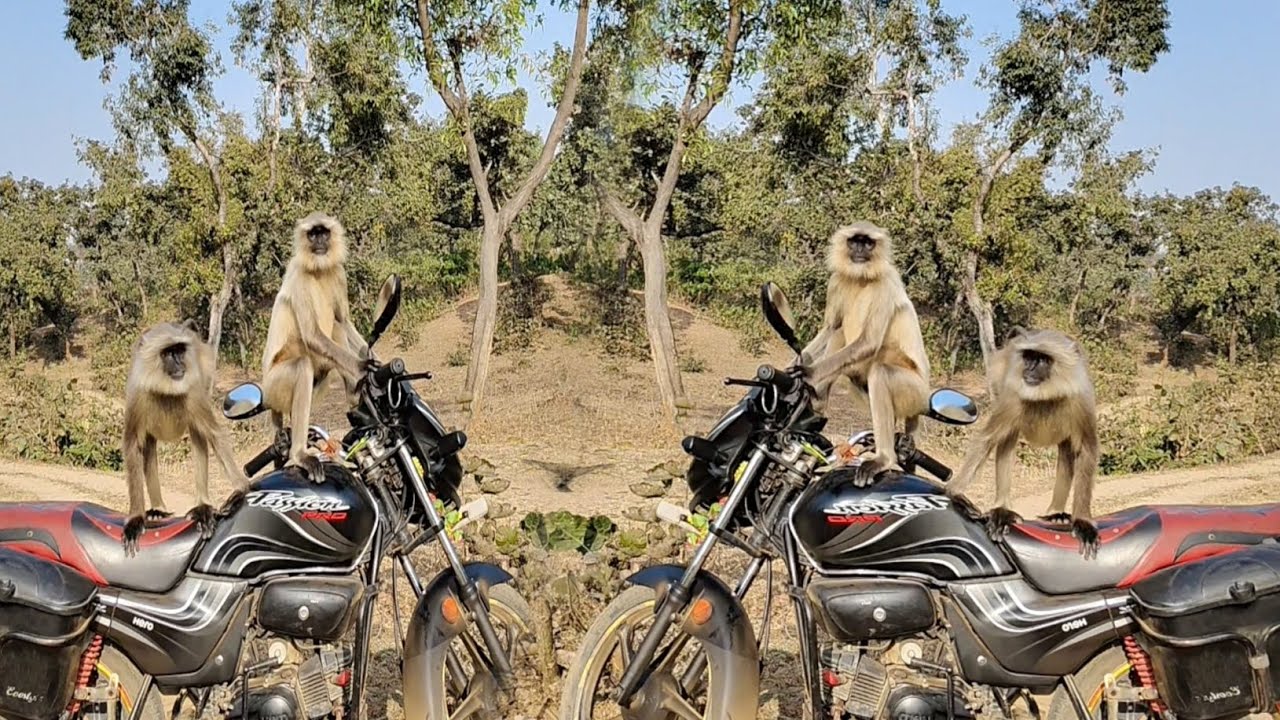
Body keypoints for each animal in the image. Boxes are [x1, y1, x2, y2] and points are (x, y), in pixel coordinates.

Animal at [122, 320, 249, 553]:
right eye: (168, 353)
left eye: (180, 350)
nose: (180, 363)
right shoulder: (137, 395)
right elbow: (133, 444)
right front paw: (136, 518)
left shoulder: (193, 392)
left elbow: (215, 434)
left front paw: (240, 490)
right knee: (149, 447)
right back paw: (157, 509)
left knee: (198, 436)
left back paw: (202, 505)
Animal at [260, 212, 367, 481]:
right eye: (312, 233)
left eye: (324, 233)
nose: (319, 242)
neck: (318, 270)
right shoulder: (298, 273)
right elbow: (311, 334)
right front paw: (363, 367)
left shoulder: (338, 272)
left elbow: (343, 320)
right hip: (274, 386)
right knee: (303, 364)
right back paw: (299, 454)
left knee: (336, 329)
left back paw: (353, 393)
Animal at [801, 221, 932, 487]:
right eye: (855, 241)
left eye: (868, 242)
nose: (860, 250)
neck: (861, 278)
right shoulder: (836, 280)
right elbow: (830, 328)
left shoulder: (887, 281)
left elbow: (869, 341)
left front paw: (808, 372)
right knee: (840, 332)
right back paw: (819, 399)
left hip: (915, 392)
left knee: (879, 370)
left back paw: (885, 459)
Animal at [945, 327, 1101, 557]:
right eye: (1029, 357)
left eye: (1042, 359)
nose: (1029, 368)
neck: (1047, 395)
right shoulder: (1013, 396)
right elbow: (987, 439)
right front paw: (955, 493)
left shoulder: (1081, 399)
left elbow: (1087, 450)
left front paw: (1082, 521)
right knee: (1007, 440)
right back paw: (1002, 508)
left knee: (1066, 451)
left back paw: (1055, 513)